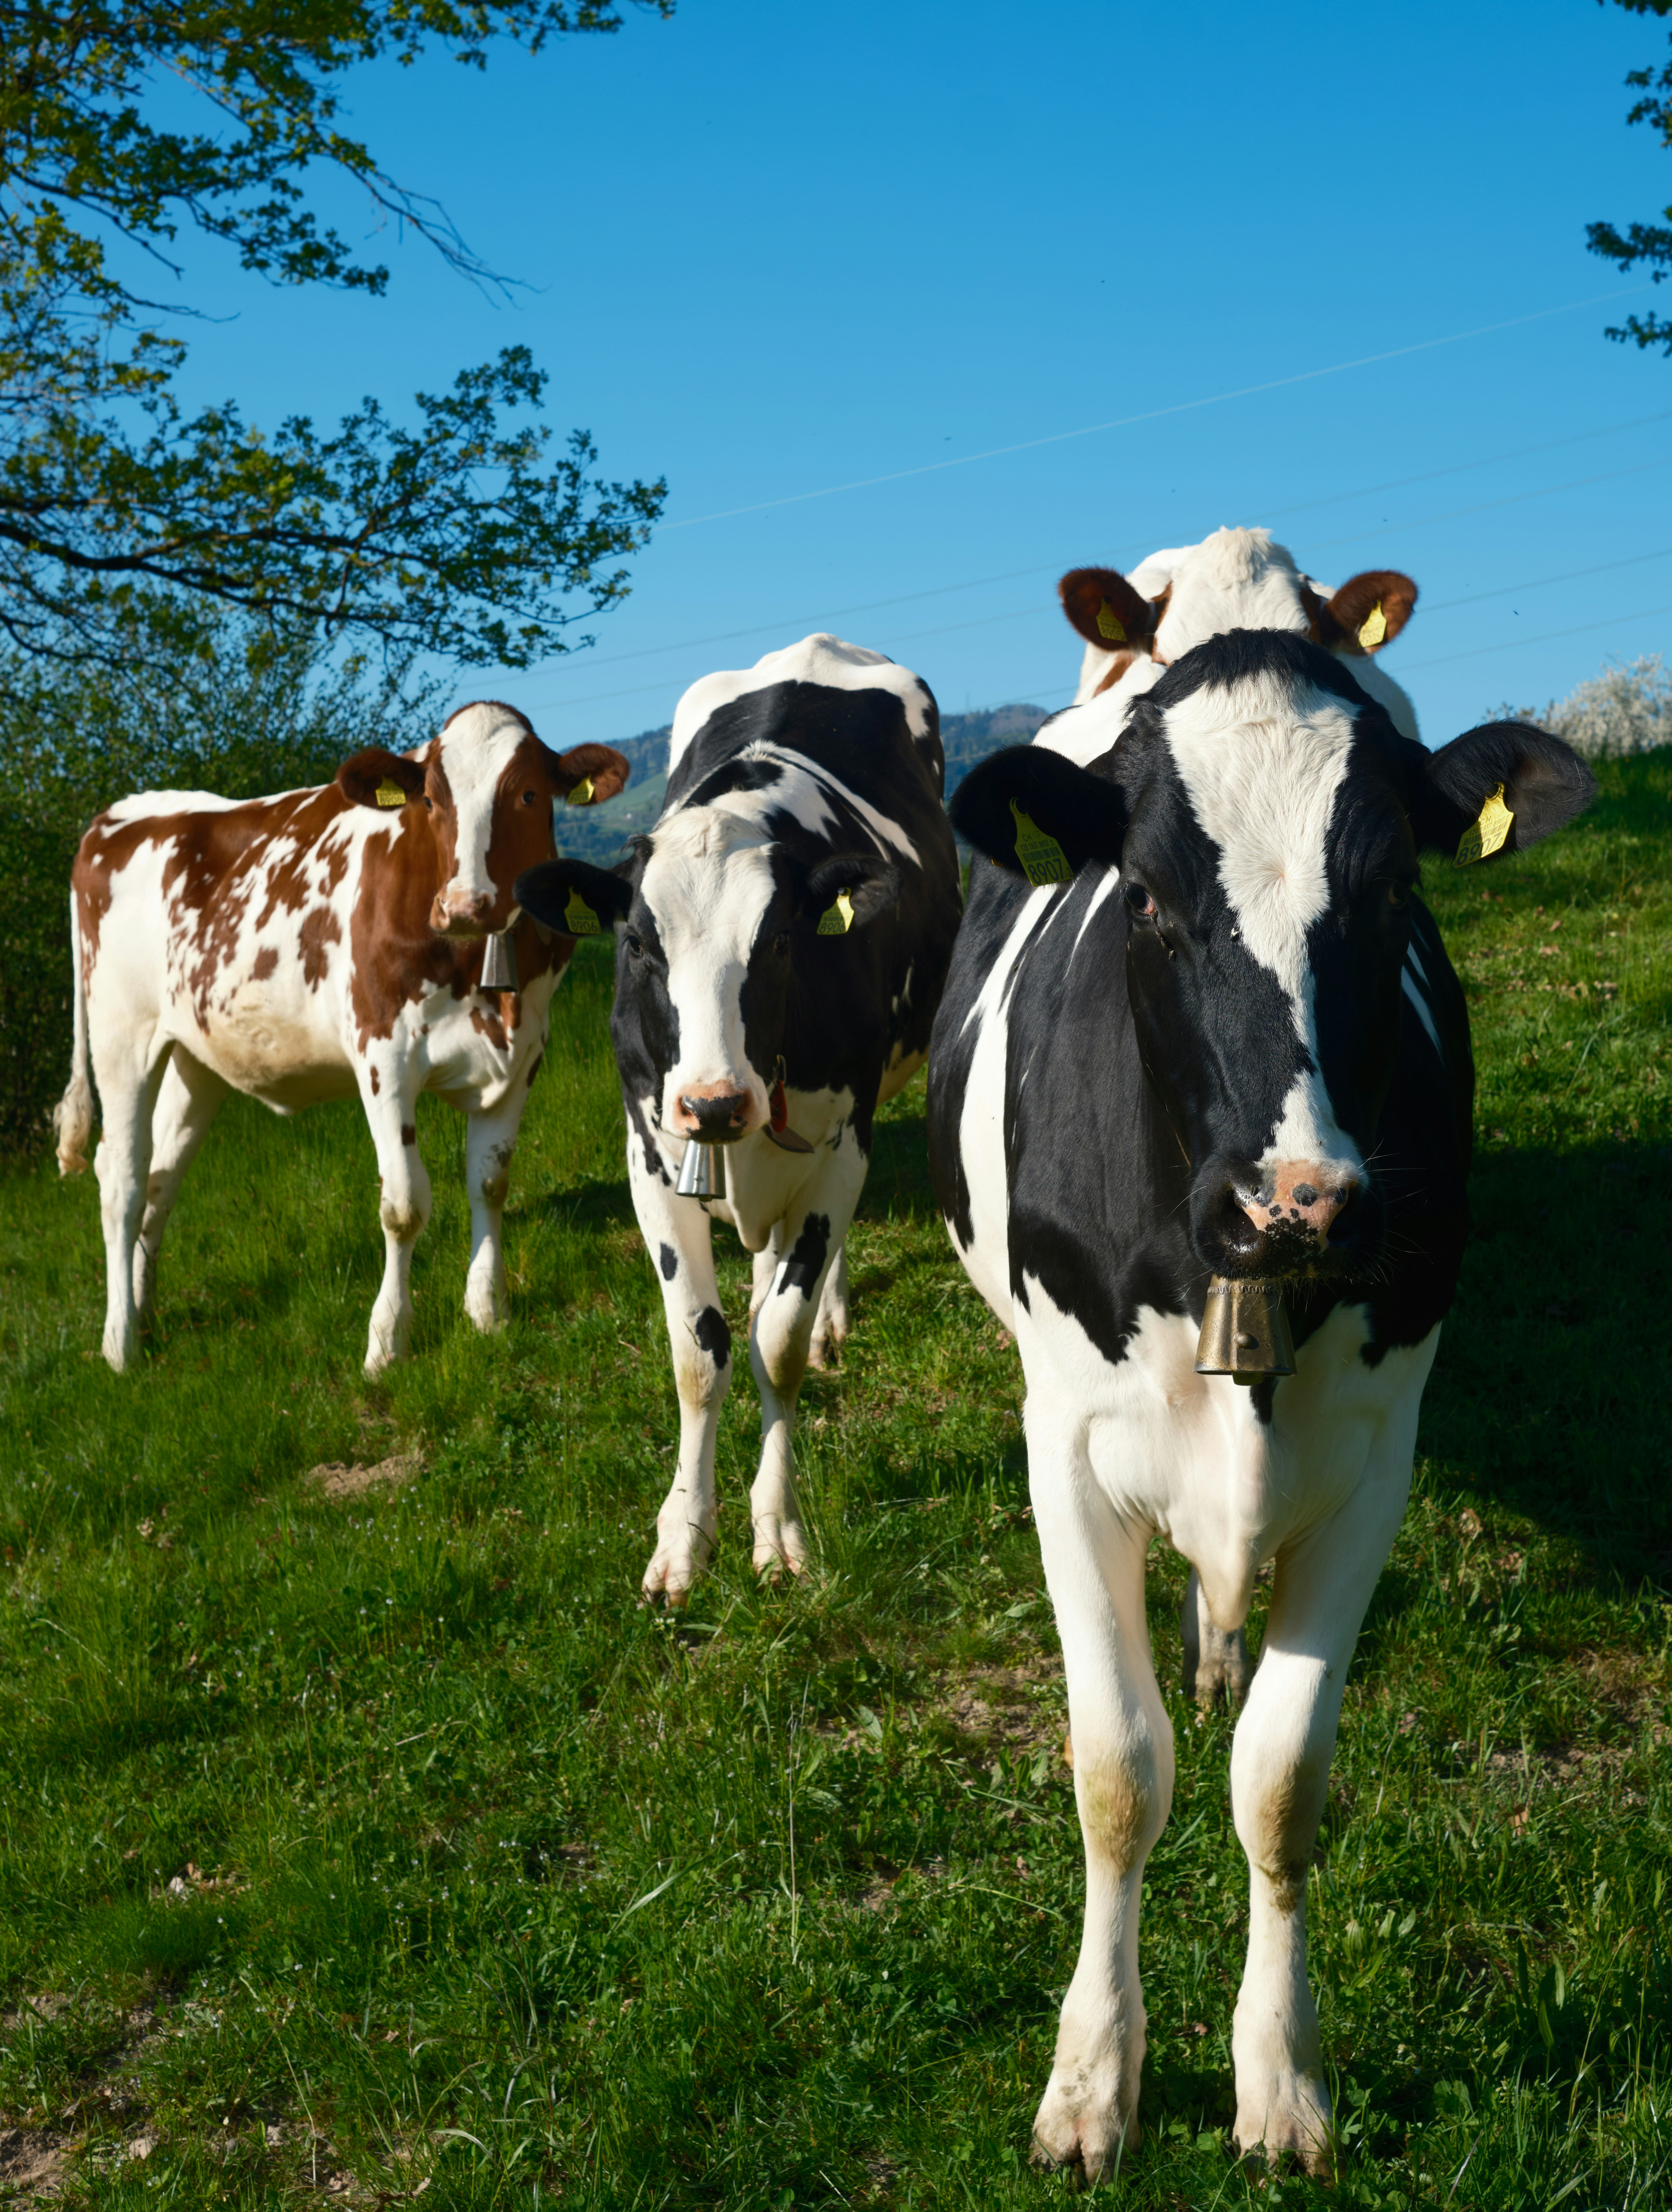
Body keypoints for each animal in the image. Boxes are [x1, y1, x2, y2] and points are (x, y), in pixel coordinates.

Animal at [54, 703, 629, 1376]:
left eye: (529, 794)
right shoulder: (384, 1056)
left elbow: (490, 1184)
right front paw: (387, 1341)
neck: (480, 969)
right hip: (121, 1035)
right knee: (120, 1177)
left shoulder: (523, 1055)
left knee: (160, 1179)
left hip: (195, 1056)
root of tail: (118, 815)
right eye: (430, 799)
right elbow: (404, 1205)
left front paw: (488, 1313)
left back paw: (142, 1313)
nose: (466, 905)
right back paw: (120, 1343)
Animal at [514, 634, 961, 1600]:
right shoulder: (649, 1153)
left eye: (783, 942)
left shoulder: (842, 1141)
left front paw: (777, 1528)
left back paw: (828, 1312)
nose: (715, 1101)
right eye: (639, 944)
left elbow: (778, 1345)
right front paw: (682, 1536)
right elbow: (700, 1352)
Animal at [926, 627, 1593, 2178]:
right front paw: (1091, 2080)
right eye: (1146, 896)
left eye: (1397, 893)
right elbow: (1118, 1771)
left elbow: (1279, 1780)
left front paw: (1281, 2078)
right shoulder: (1063, 1447)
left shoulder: (1375, 1457)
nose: (1295, 1200)